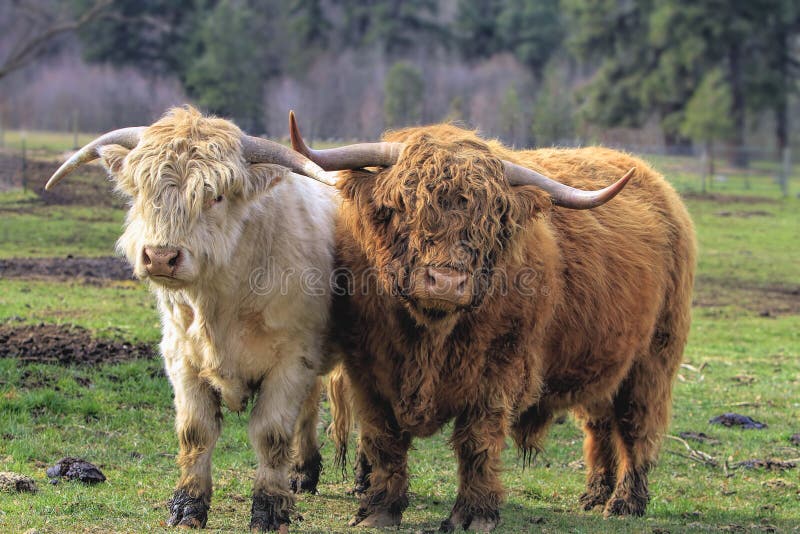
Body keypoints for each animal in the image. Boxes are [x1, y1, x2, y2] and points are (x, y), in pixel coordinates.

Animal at [45, 106, 340, 532]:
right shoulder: (181, 356)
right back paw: (303, 473)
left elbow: (270, 436)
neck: (220, 305)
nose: (161, 257)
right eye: (144, 191)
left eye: (215, 196)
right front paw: (187, 506)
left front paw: (269, 509)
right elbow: (195, 432)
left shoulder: (291, 360)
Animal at [289, 114, 696, 531]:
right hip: (602, 356)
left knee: (635, 426)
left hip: (653, 359)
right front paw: (379, 509)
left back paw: (625, 501)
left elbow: (476, 442)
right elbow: (383, 438)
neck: (429, 337)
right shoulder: (370, 369)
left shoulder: (497, 372)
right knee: (599, 424)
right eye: (402, 206)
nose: (445, 281)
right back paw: (595, 494)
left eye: (489, 220)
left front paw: (472, 514)